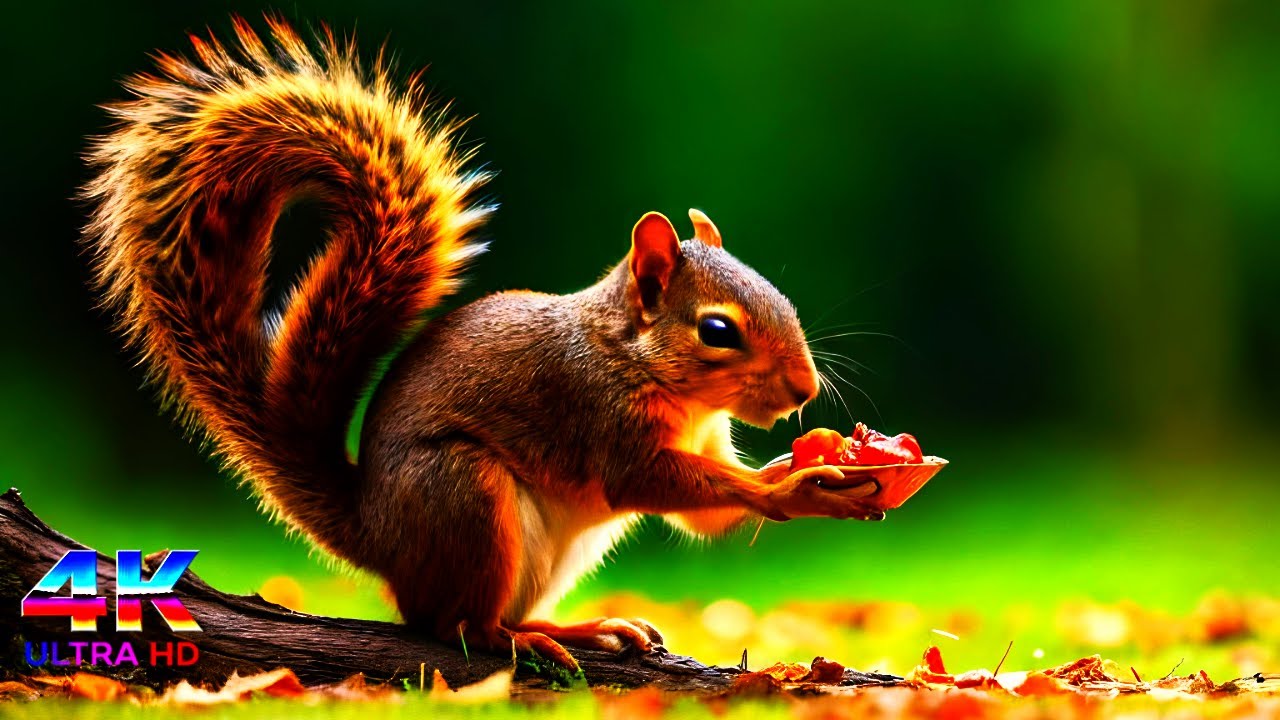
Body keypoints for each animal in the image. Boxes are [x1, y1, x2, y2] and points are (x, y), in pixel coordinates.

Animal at [81, 17, 883, 668]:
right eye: (718, 331)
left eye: (781, 298)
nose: (805, 391)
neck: (637, 363)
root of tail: (377, 537)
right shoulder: (599, 417)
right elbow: (648, 482)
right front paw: (795, 485)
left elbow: (707, 515)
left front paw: (817, 472)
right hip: (466, 499)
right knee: (453, 624)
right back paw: (520, 639)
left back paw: (582, 630)